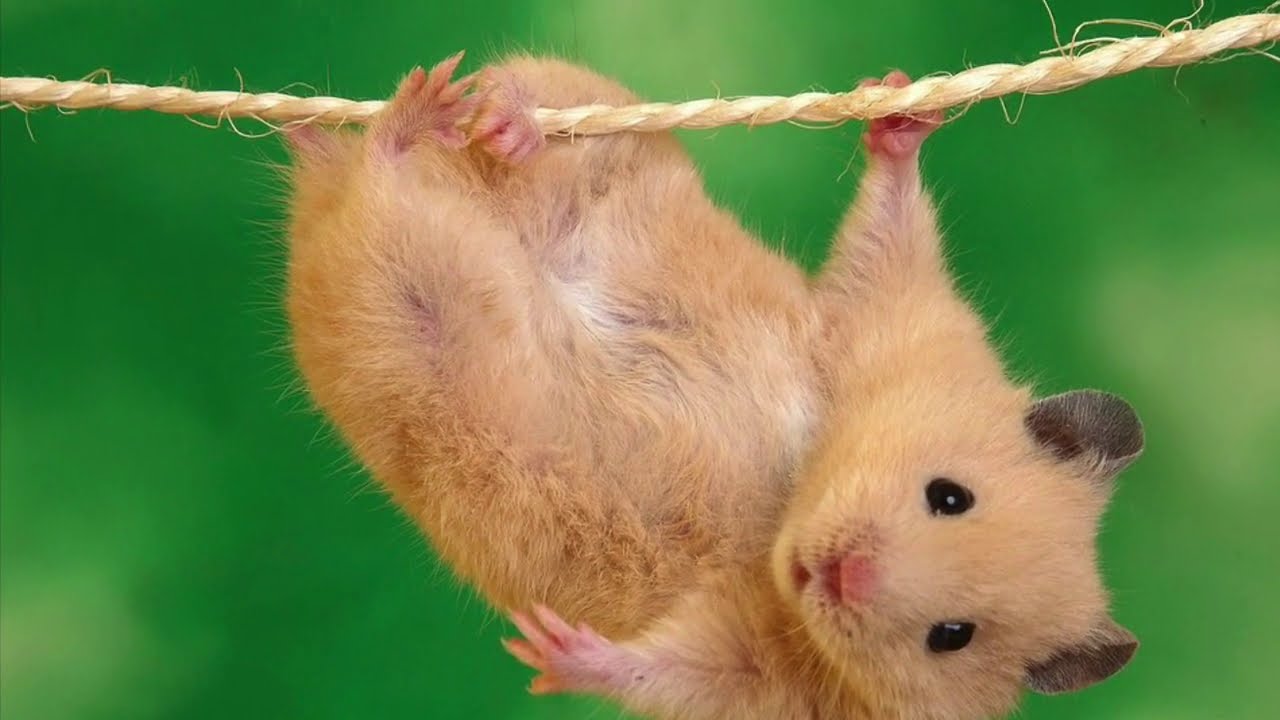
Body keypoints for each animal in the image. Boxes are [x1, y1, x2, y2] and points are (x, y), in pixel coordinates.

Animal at [281, 53, 1144, 720]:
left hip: (401, 309)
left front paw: (550, 649)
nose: (839, 574)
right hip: (615, 137)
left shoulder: (757, 676)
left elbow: (669, 671)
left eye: (952, 637)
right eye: (950, 495)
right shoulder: (884, 319)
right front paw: (899, 107)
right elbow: (888, 232)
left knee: (379, 192)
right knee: (533, 108)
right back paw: (477, 115)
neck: (787, 508)